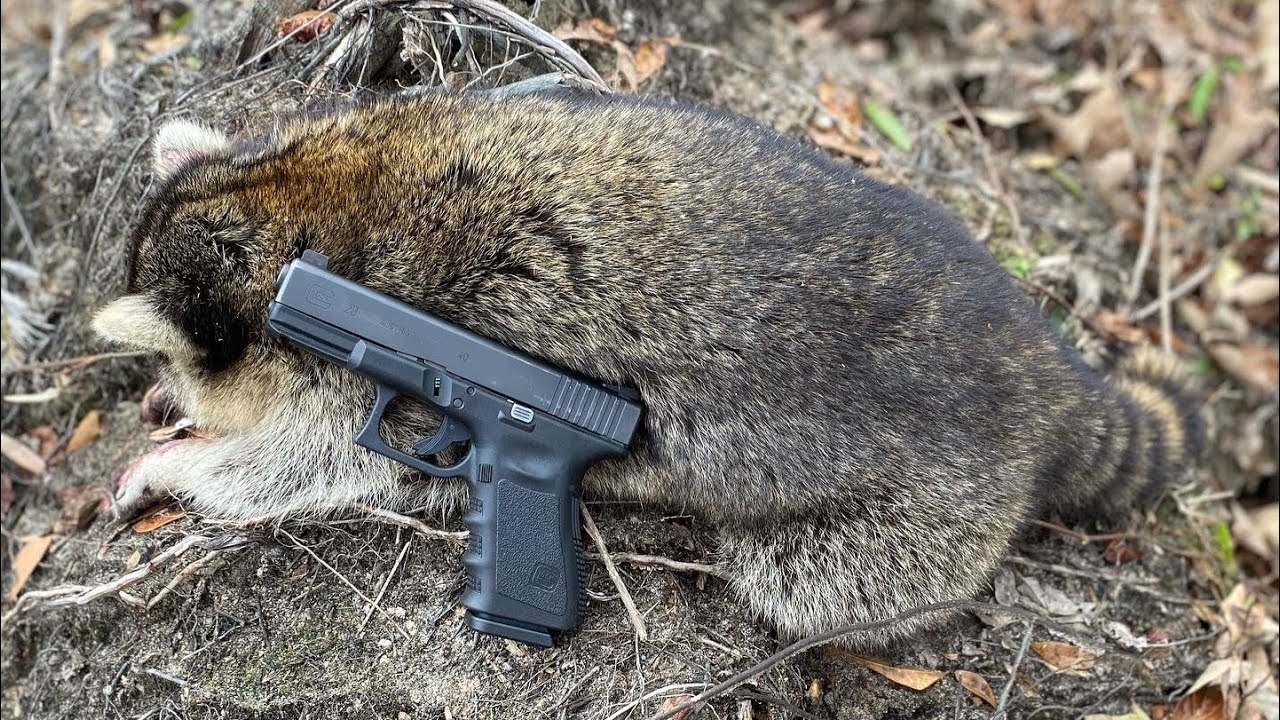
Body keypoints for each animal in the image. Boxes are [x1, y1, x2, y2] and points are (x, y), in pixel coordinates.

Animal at [93, 91, 1205, 647]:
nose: (167, 400)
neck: (293, 204)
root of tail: (1043, 372)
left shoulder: (375, 387)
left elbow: (308, 465)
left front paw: (182, 463)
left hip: (918, 511)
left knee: (816, 580)